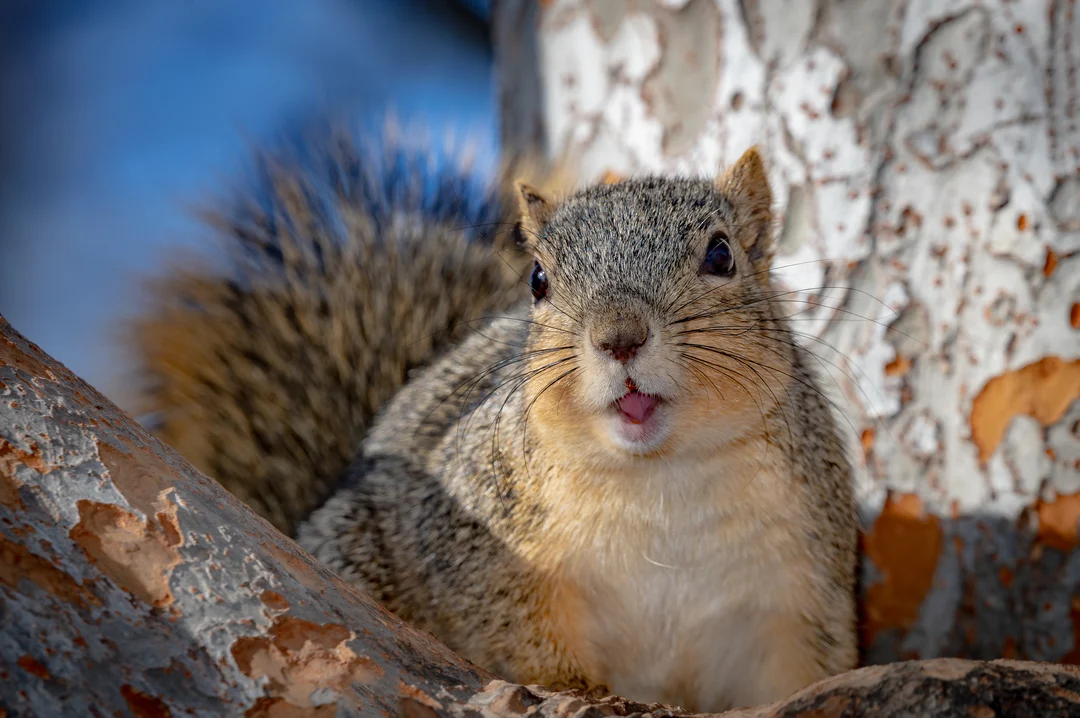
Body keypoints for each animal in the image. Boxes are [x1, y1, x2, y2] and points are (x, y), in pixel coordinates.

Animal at [131, 130, 858, 712]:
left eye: (721, 256)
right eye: (537, 280)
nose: (619, 338)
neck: (661, 479)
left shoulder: (796, 598)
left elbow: (804, 673)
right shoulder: (469, 545)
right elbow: (516, 637)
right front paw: (582, 692)